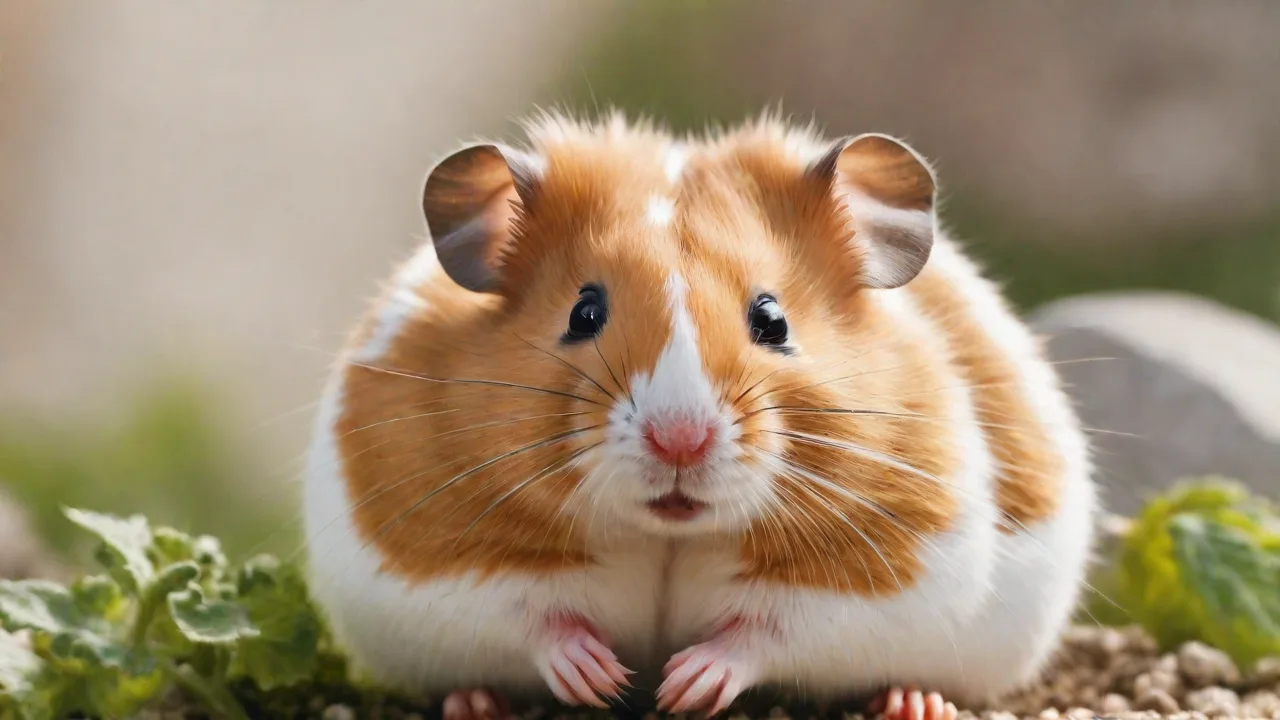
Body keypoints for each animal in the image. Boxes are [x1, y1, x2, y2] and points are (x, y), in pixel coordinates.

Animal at [302, 110, 1098, 720]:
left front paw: (684, 687)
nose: (679, 440)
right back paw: (475, 704)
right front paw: (605, 679)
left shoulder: (884, 573)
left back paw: (913, 703)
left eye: (772, 320)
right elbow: (533, 616)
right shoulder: (439, 561)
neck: (668, 535)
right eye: (583, 313)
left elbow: (768, 630)